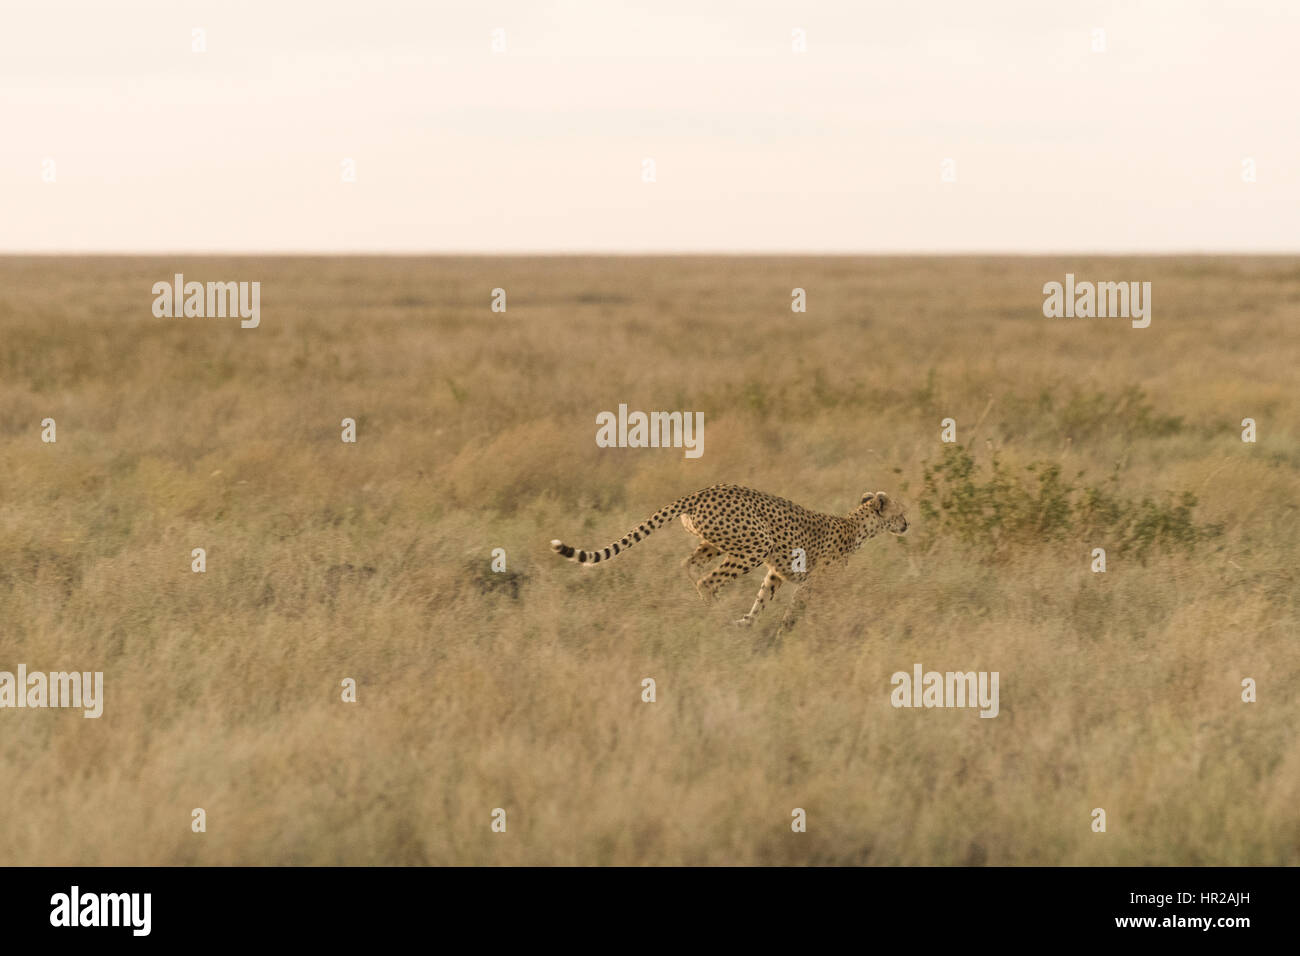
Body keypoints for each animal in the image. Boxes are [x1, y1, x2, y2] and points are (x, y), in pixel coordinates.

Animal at [550, 484, 909, 633]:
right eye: (901, 512)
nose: (907, 524)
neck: (857, 525)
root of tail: (703, 490)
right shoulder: (813, 583)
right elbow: (796, 610)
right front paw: (784, 632)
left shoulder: (775, 574)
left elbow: (762, 599)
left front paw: (747, 623)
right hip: (756, 544)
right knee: (708, 579)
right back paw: (716, 610)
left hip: (717, 541)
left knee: (689, 565)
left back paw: (709, 608)